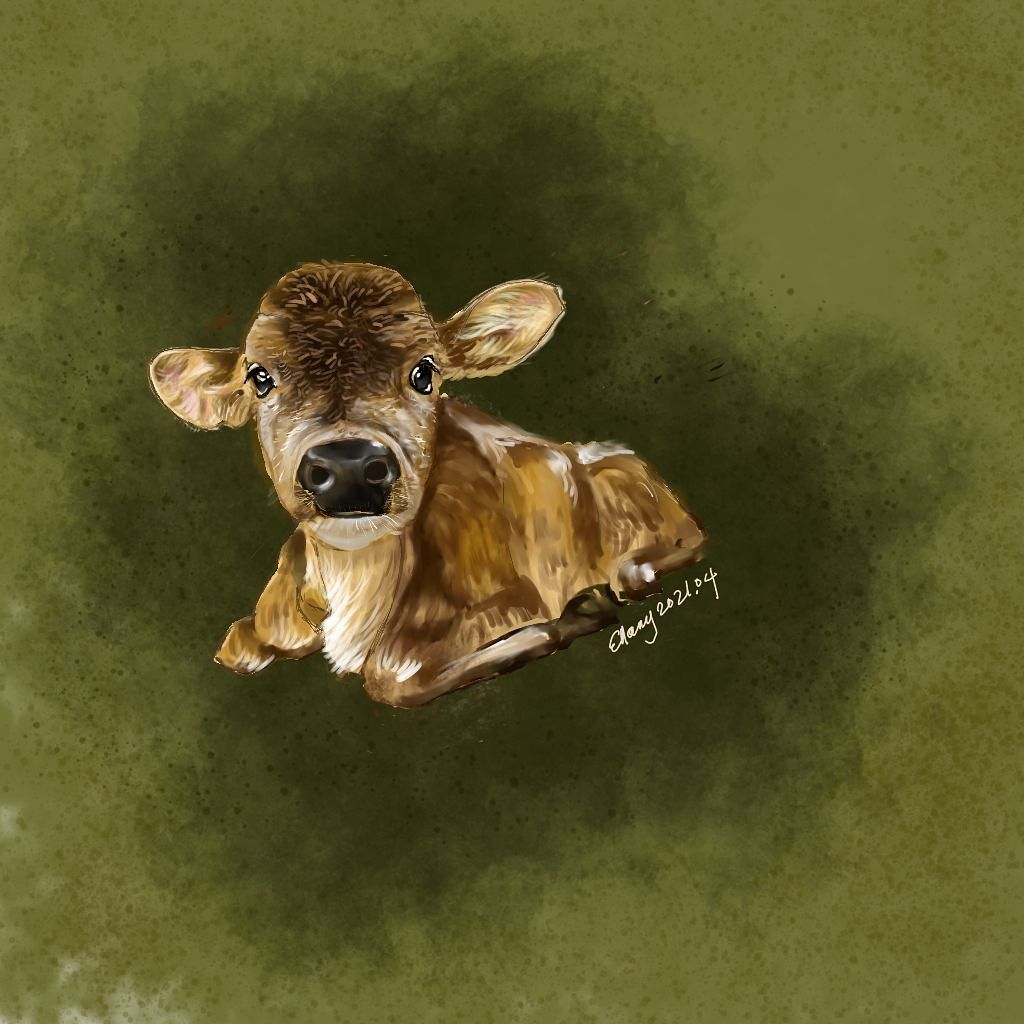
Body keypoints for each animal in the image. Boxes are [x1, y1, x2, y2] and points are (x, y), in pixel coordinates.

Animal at [148, 261, 708, 707]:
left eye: (425, 371)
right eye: (259, 377)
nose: (349, 465)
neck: (358, 581)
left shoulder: (509, 600)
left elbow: (390, 676)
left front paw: (567, 619)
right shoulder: (262, 623)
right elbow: (237, 647)